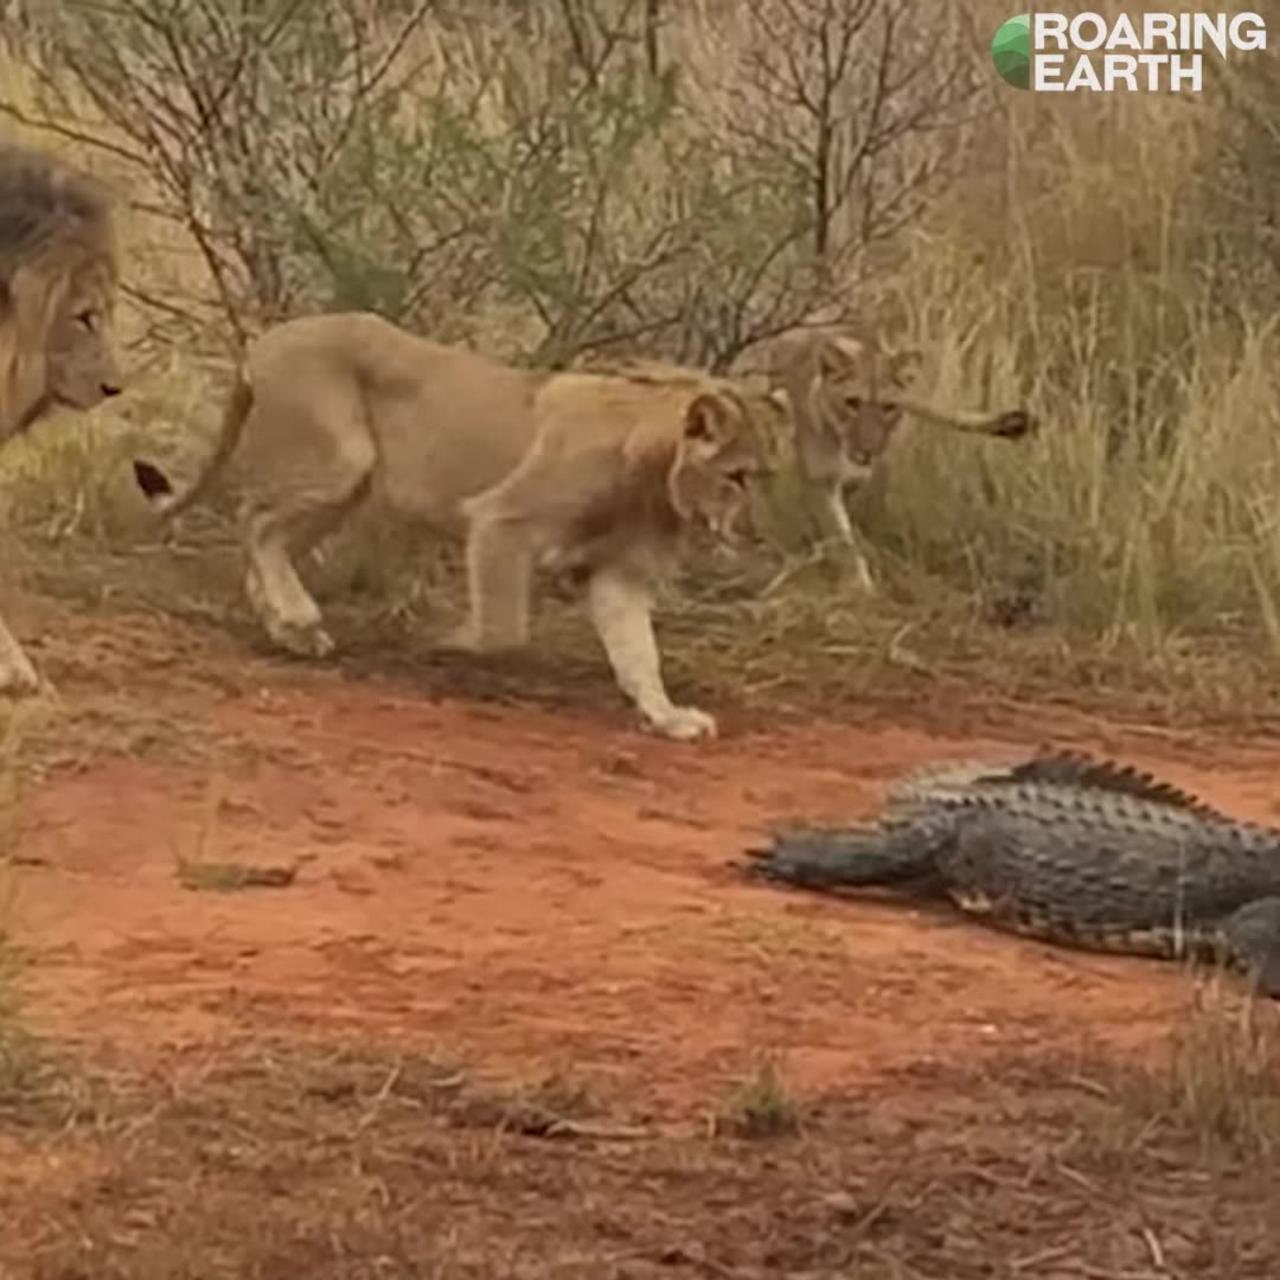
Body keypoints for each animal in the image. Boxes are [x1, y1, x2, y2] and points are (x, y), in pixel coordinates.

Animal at [131, 312, 773, 740]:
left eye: (763, 475)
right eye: (737, 477)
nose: (755, 532)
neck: (654, 478)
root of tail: (265, 341)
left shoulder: (616, 570)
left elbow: (639, 652)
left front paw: (670, 718)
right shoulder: (501, 520)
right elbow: (503, 627)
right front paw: (447, 641)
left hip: (345, 486)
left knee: (263, 536)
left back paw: (288, 628)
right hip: (342, 459)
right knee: (256, 522)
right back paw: (297, 616)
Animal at [758, 329, 1033, 591]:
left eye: (888, 407)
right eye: (852, 402)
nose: (867, 450)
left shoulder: (857, 477)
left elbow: (844, 531)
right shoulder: (820, 480)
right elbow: (840, 535)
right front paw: (858, 583)